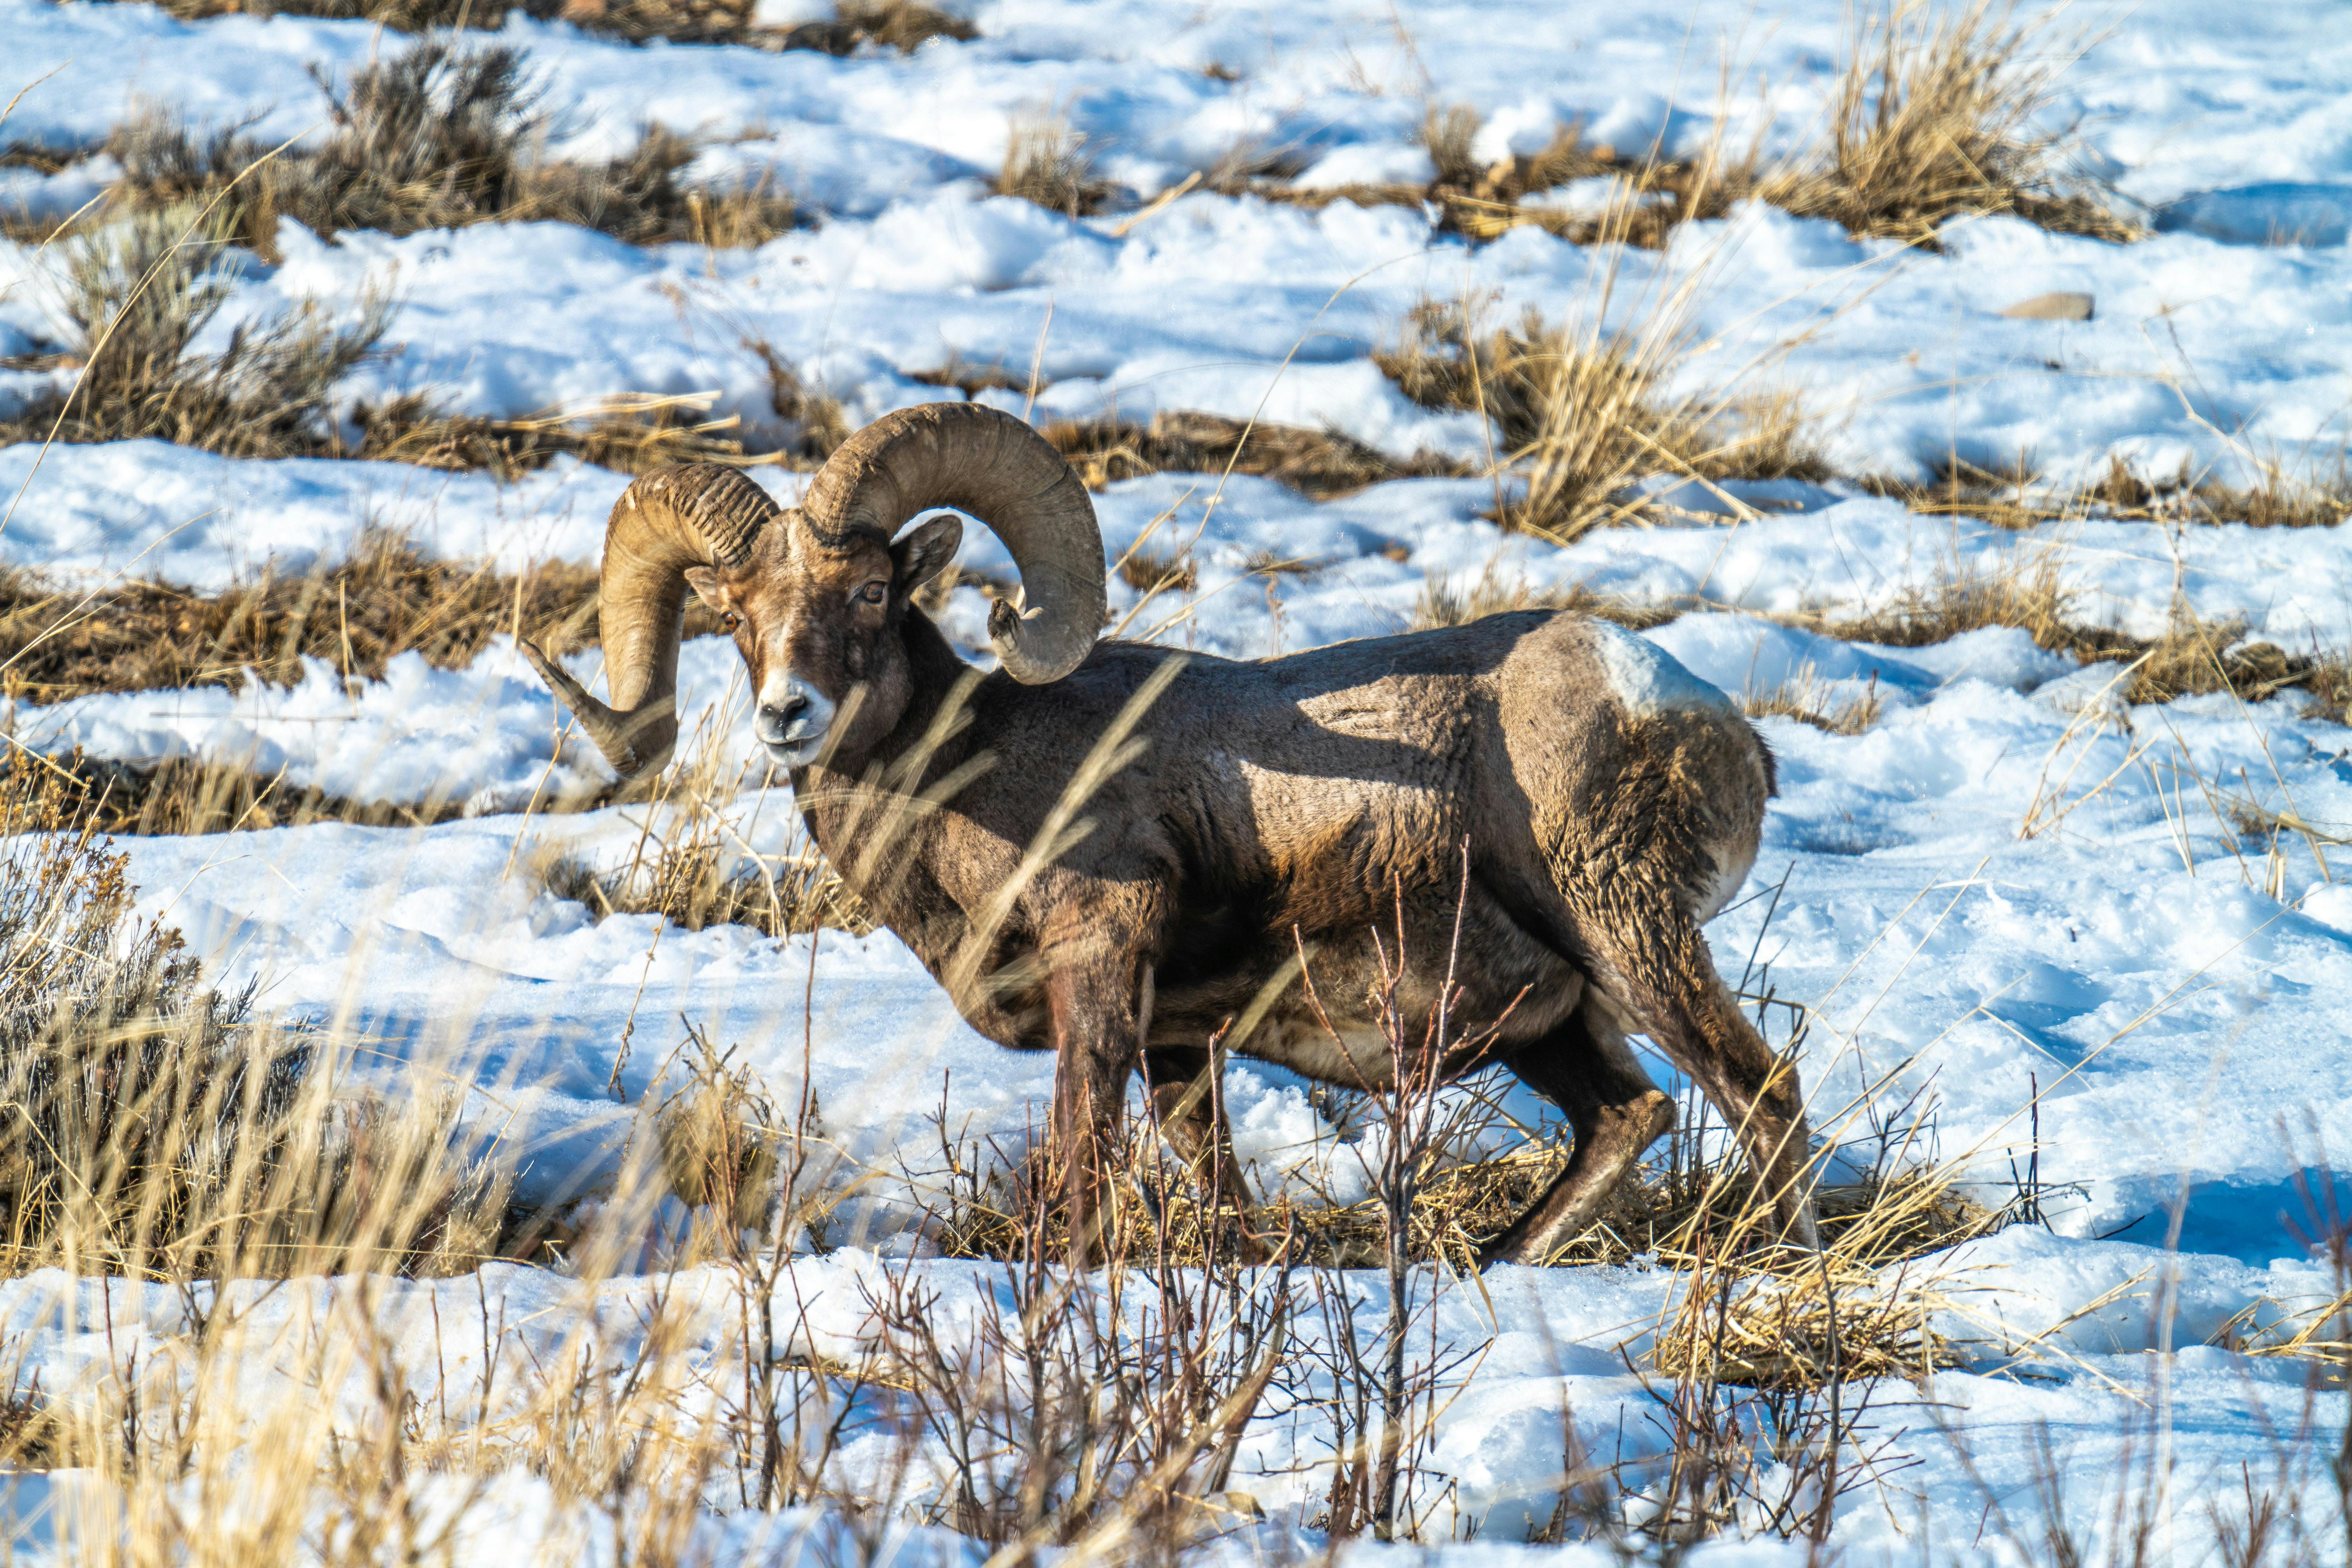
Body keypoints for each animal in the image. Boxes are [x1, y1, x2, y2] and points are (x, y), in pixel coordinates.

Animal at [523, 401, 1819, 1265]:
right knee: (1628, 1118)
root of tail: (1697, 717)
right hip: (1546, 1016)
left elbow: (1083, 1162)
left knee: (1760, 1094)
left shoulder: (1100, 974)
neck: (966, 779)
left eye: (871, 595)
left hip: (1625, 942)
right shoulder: (1181, 1046)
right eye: (738, 616)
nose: (789, 714)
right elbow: (1218, 1187)